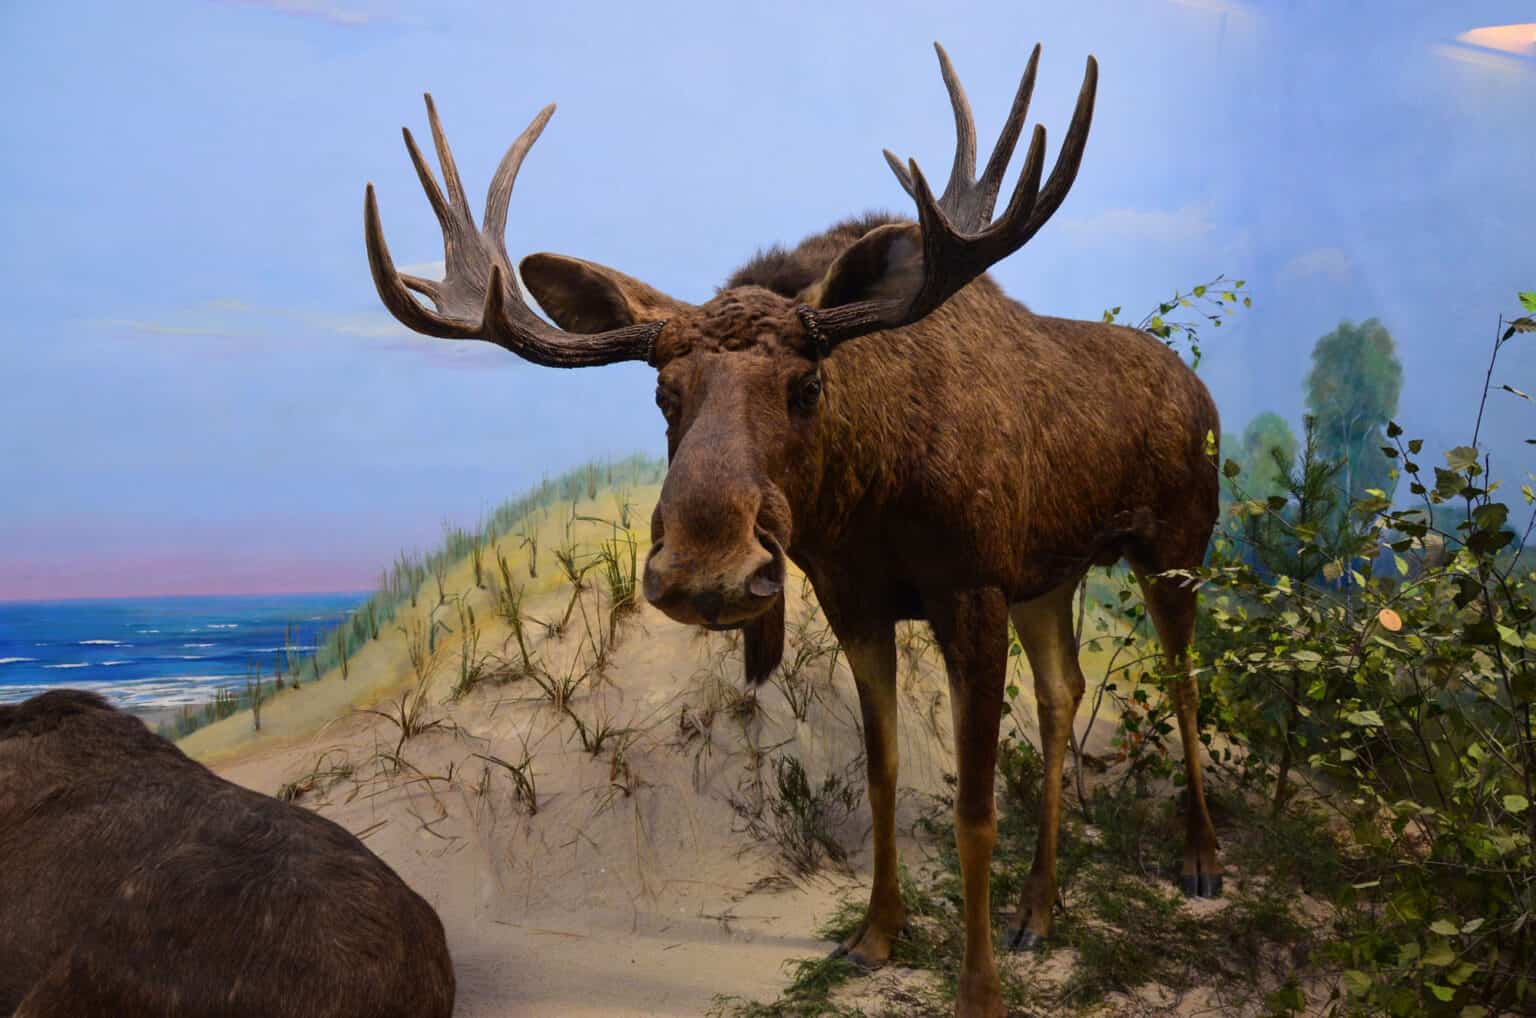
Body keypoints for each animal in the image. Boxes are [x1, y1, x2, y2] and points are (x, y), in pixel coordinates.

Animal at [364, 40, 1221, 1018]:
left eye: (807, 384)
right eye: (663, 394)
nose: (708, 572)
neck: (872, 495)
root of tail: (1201, 390)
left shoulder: (971, 591)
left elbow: (972, 807)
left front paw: (978, 992)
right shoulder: (860, 601)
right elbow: (885, 775)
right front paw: (877, 935)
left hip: (1174, 550)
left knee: (1184, 682)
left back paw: (1200, 859)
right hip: (1052, 575)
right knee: (1063, 692)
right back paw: (1040, 908)